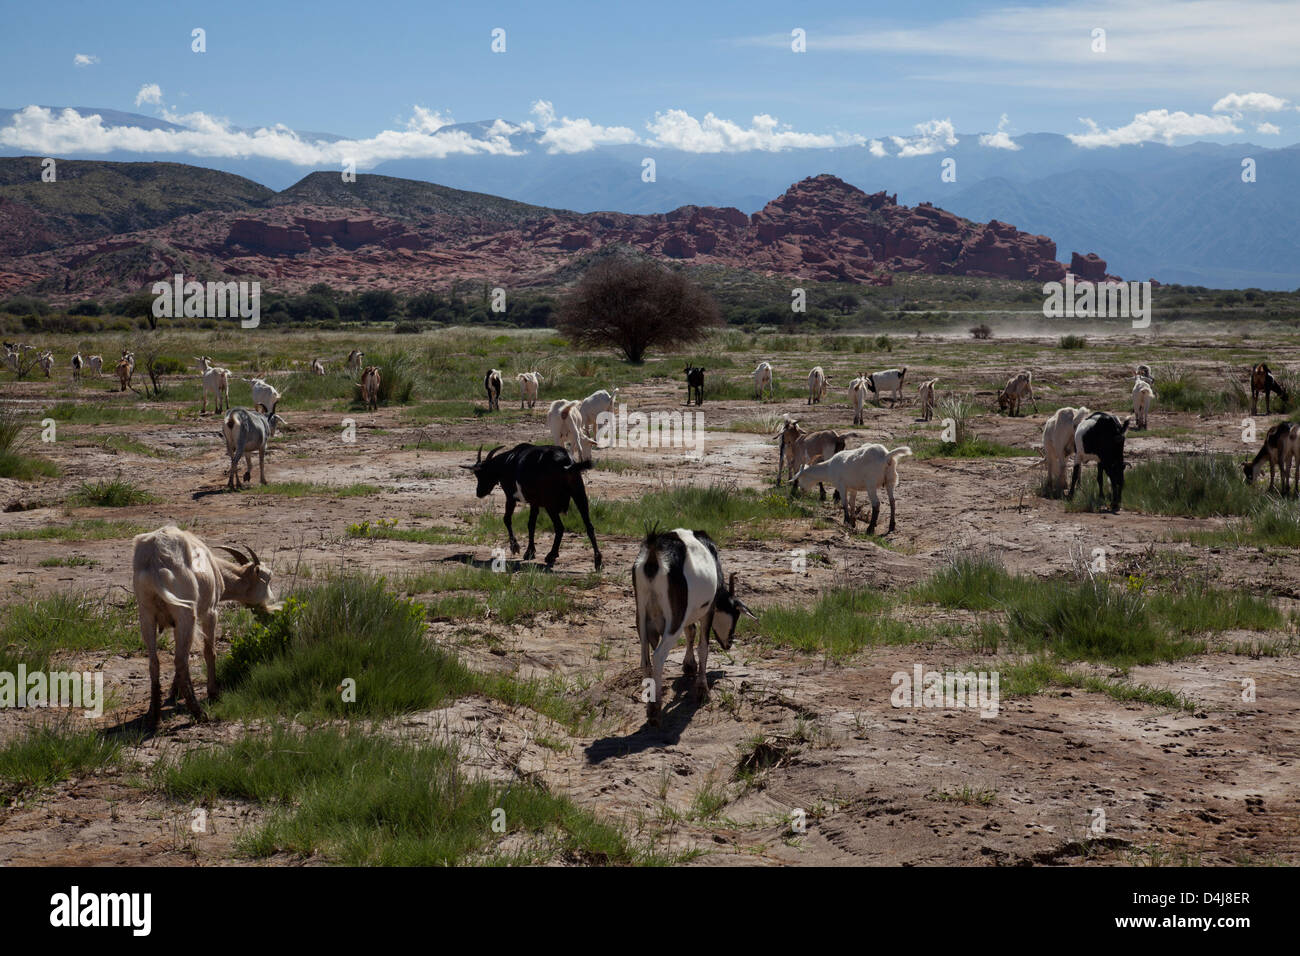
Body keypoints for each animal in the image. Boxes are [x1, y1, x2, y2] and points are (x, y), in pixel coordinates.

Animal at [132, 525, 278, 729]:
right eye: (268, 578)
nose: (269, 604)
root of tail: (155, 557)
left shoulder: (174, 623)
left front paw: (174, 692)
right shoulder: (210, 612)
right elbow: (210, 652)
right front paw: (213, 692)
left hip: (146, 614)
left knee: (155, 662)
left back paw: (153, 716)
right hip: (187, 613)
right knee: (180, 660)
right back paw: (199, 713)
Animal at [460, 443, 601, 569]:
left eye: (480, 474)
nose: (479, 492)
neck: (507, 461)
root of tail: (566, 464)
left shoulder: (510, 497)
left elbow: (507, 519)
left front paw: (516, 547)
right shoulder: (535, 502)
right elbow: (531, 524)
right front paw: (530, 551)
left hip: (550, 503)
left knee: (560, 527)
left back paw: (551, 555)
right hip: (579, 495)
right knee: (589, 526)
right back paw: (597, 560)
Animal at [633, 529, 754, 723]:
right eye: (735, 615)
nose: (728, 643)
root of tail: (653, 554)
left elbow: (690, 632)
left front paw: (689, 665)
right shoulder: (708, 609)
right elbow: (703, 646)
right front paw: (703, 690)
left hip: (641, 615)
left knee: (645, 659)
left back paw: (650, 703)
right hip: (674, 619)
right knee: (658, 655)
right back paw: (655, 709)